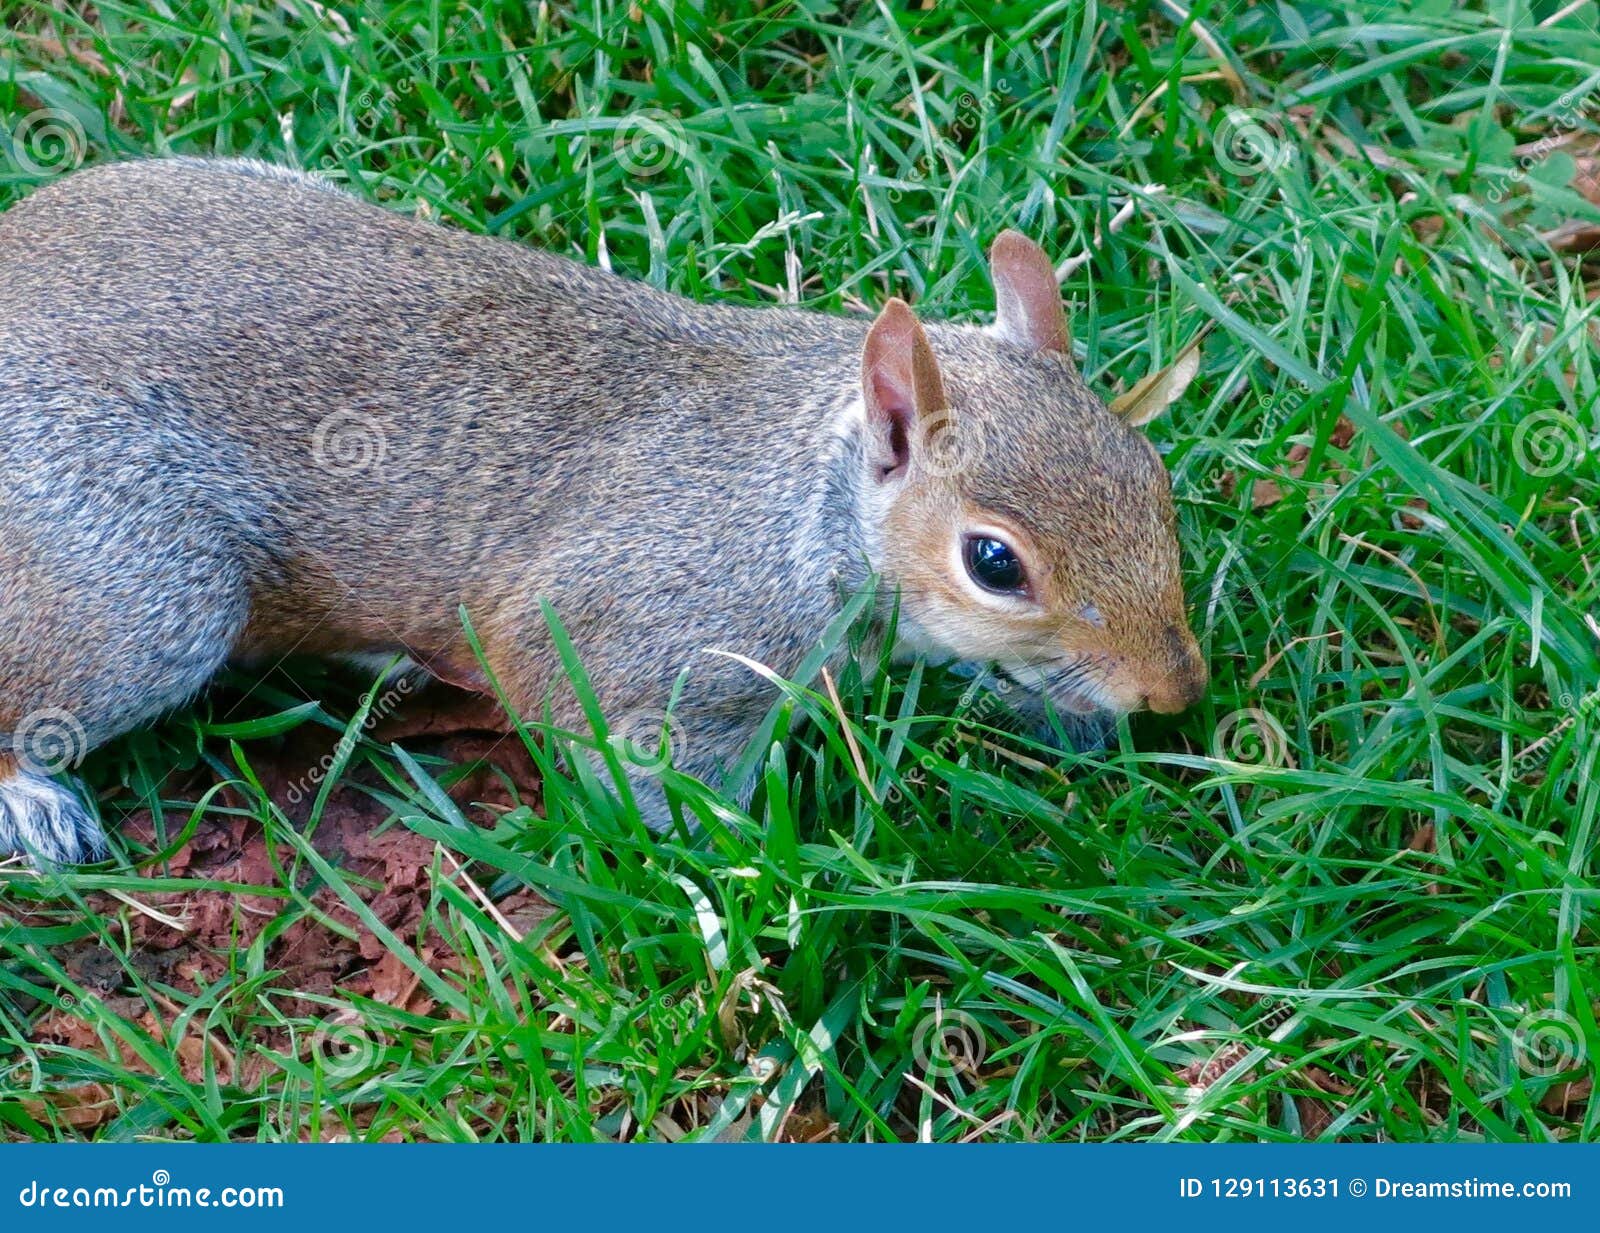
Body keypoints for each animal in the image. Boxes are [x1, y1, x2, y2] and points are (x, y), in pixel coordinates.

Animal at [0, 157, 1207, 864]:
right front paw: (758, 864)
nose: (1174, 692)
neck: (801, 508)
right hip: (141, 585)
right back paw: (36, 801)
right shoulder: (632, 629)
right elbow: (627, 754)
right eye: (995, 563)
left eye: (1151, 477)